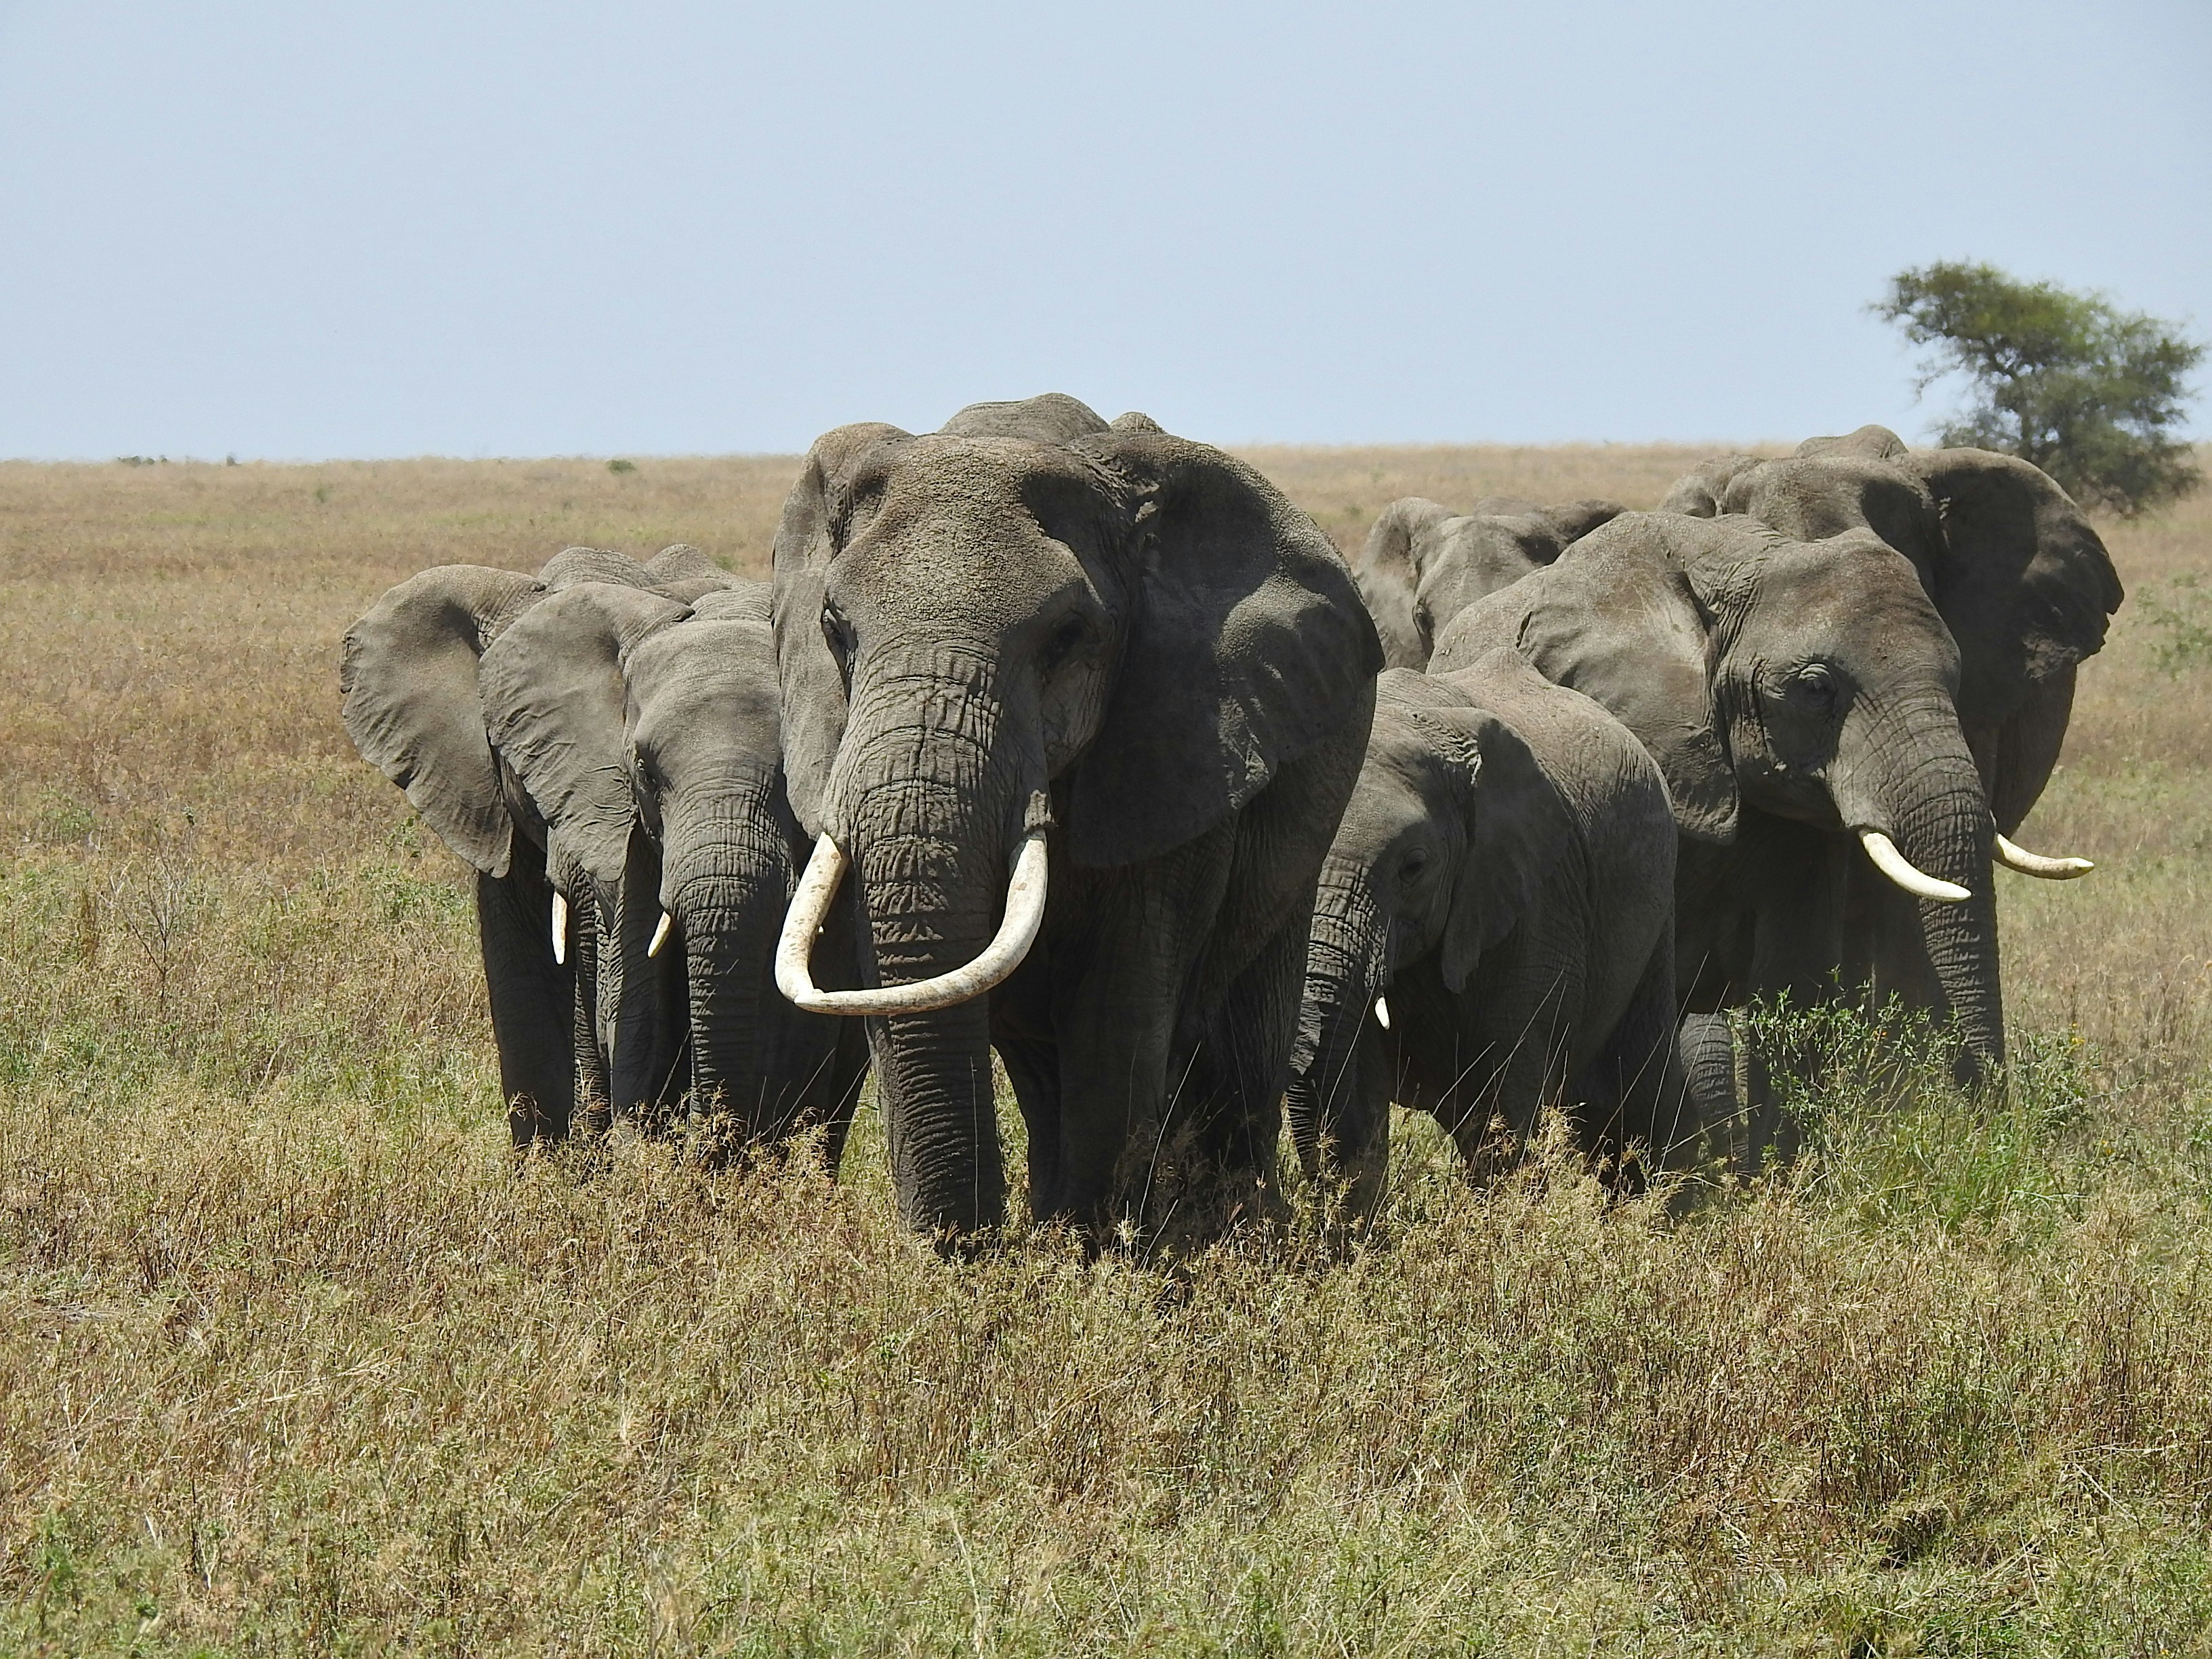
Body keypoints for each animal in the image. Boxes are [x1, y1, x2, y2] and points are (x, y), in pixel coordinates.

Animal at [476, 579, 869, 1161]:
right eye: (644, 770)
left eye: (791, 770)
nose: (705, 1131)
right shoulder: (633, 845)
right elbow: (639, 1009)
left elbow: (799, 1035)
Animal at [769, 393, 1382, 1243]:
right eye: (835, 628)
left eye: (1065, 638)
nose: (968, 1251)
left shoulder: (1178, 733)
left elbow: (1119, 997)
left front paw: (1092, 1259)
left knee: (1244, 1029)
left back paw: (1237, 1229)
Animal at [1285, 651, 1689, 1216]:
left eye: (1413, 868)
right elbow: (1358, 1093)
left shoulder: (1539, 897)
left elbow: (1505, 1095)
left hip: (1654, 911)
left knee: (1632, 1104)